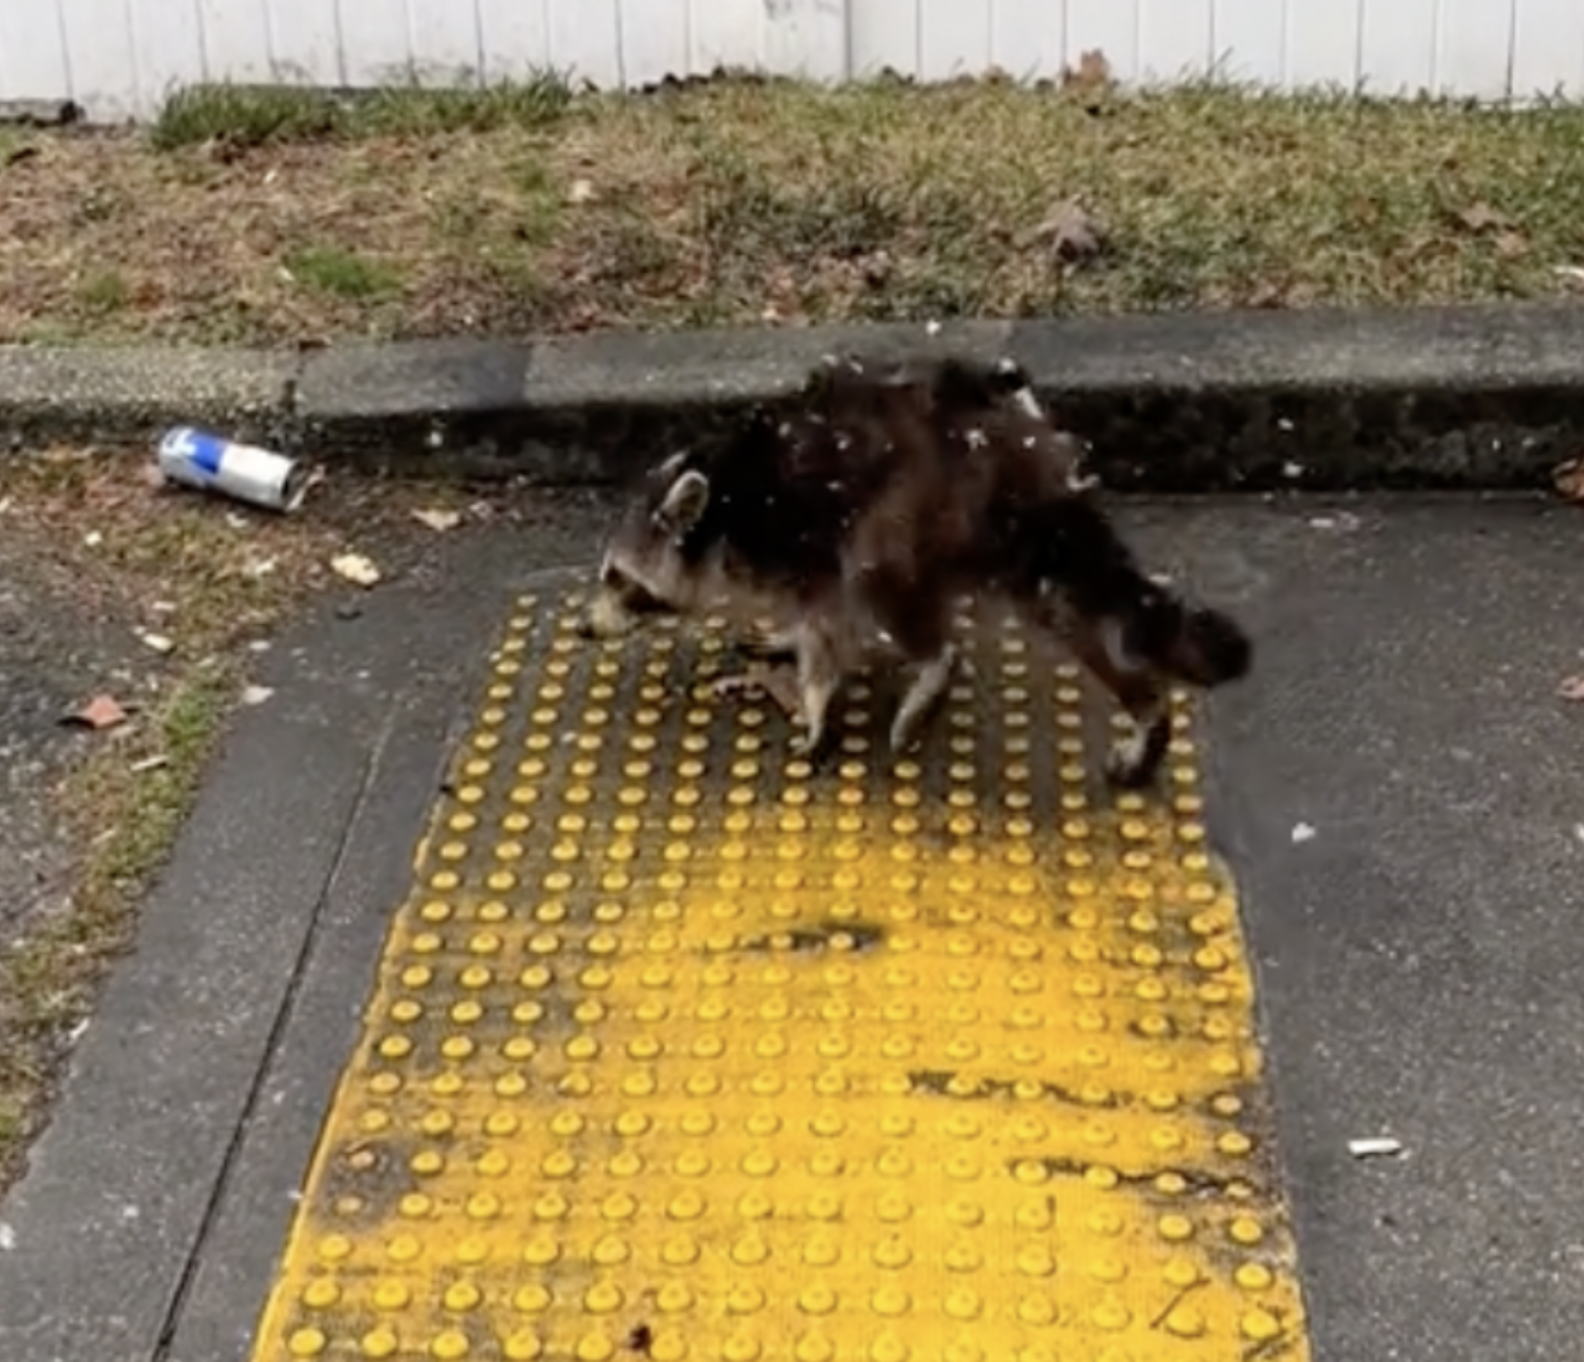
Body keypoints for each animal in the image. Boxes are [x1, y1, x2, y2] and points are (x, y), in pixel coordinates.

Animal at [583, 352, 1251, 789]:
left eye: (620, 579)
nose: (586, 631)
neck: (723, 506)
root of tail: (1021, 449)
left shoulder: (802, 540)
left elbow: (827, 628)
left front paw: (817, 702)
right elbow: (809, 621)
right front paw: (787, 638)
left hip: (924, 507)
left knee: (883, 581)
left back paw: (933, 664)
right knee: (1065, 606)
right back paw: (1147, 708)